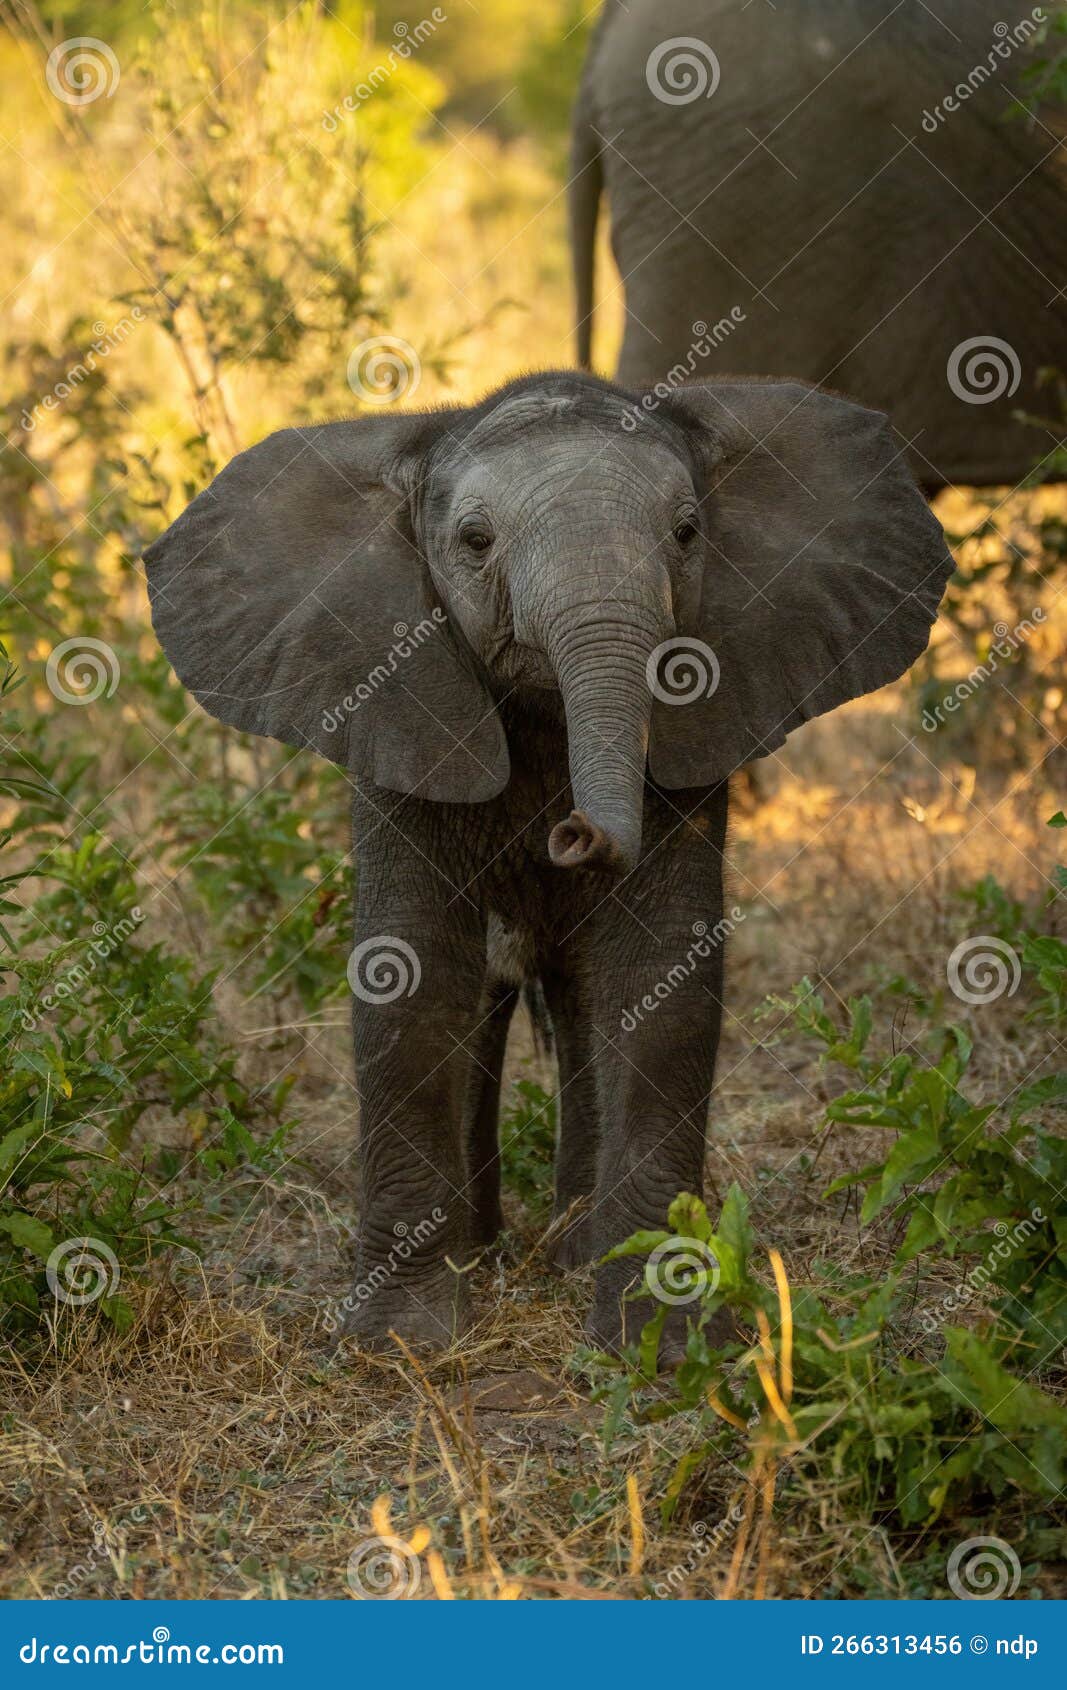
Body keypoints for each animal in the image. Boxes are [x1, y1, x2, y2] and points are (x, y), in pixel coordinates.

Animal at [144, 369, 950, 1354]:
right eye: (474, 542)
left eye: (687, 532)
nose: (570, 833)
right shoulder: (395, 706)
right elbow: (409, 972)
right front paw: (402, 1342)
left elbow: (661, 978)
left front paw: (658, 1341)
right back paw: (487, 1249)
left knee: (576, 994)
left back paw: (570, 1250)